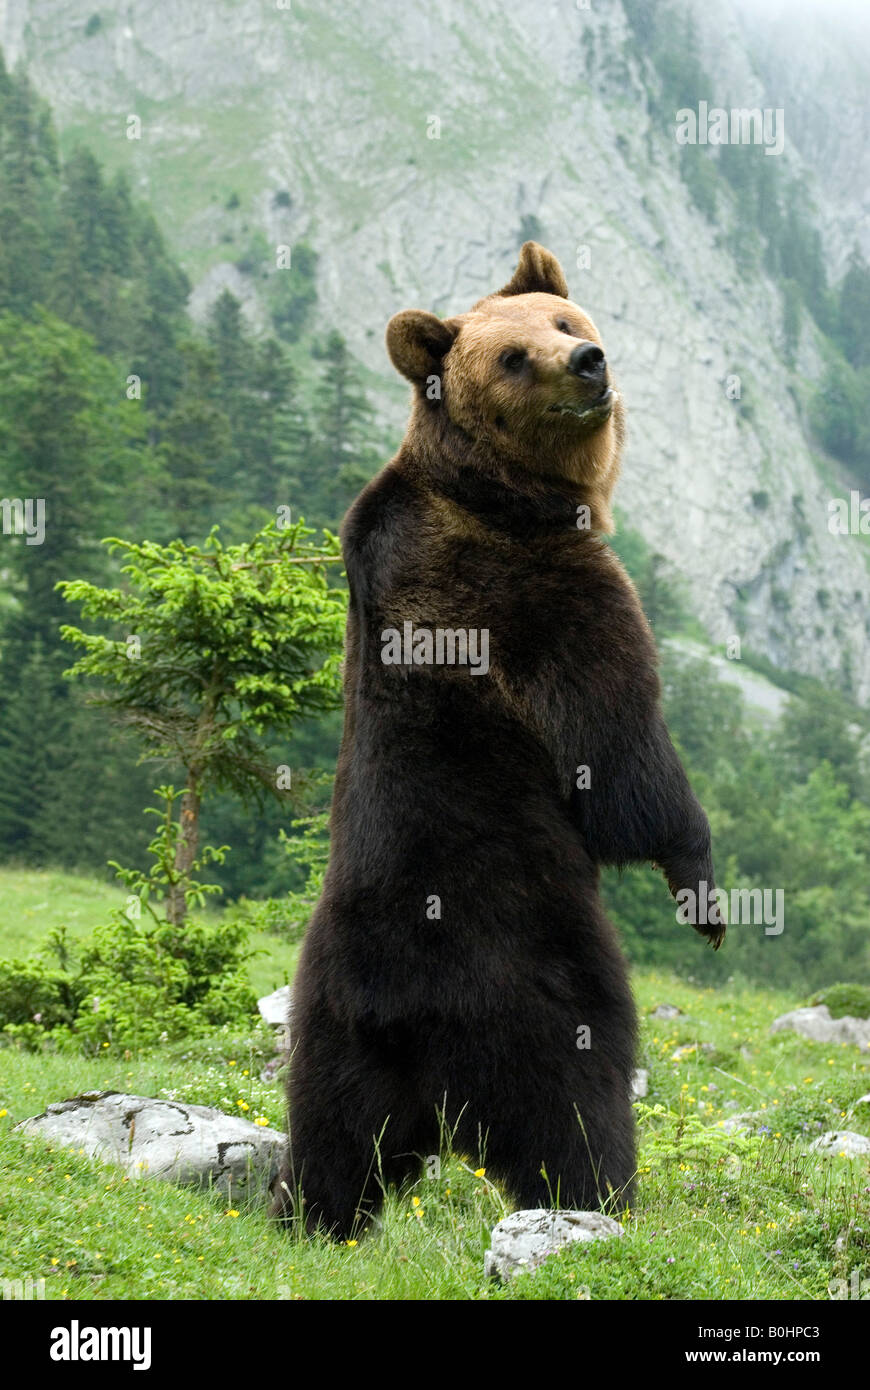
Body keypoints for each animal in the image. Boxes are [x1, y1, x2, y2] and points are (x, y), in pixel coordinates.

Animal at [272, 241, 723, 1241]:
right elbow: (623, 765)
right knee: (576, 1108)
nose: (589, 363)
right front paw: (703, 890)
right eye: (514, 357)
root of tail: (397, 1004)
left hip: (331, 1028)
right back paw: (605, 1205)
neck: (514, 497)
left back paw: (304, 1214)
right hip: (535, 976)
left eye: (564, 321)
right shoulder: (550, 599)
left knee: (334, 1141)